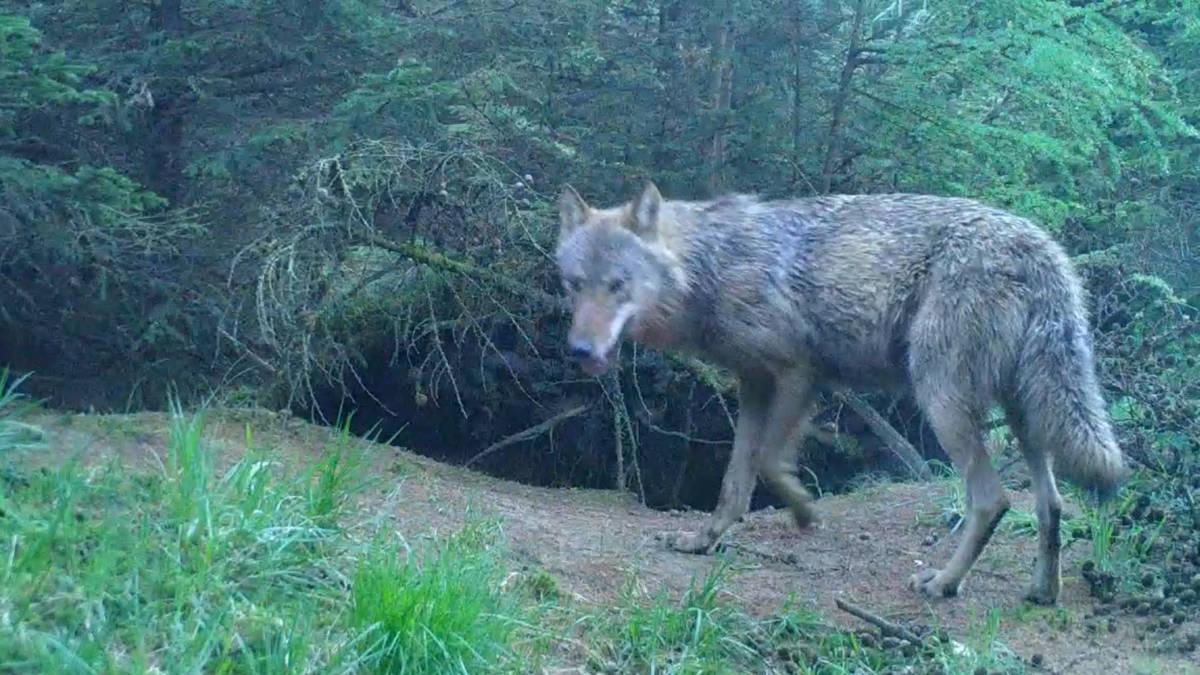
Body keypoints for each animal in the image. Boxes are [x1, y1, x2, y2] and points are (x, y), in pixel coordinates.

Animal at [553, 181, 1127, 605]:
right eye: (575, 284)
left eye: (618, 285)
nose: (579, 349)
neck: (711, 265)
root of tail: (1041, 248)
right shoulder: (753, 385)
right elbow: (735, 481)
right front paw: (703, 541)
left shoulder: (799, 375)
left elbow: (769, 464)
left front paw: (806, 512)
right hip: (1026, 416)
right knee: (1051, 503)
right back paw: (1043, 591)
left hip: (943, 404)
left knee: (994, 500)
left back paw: (944, 583)